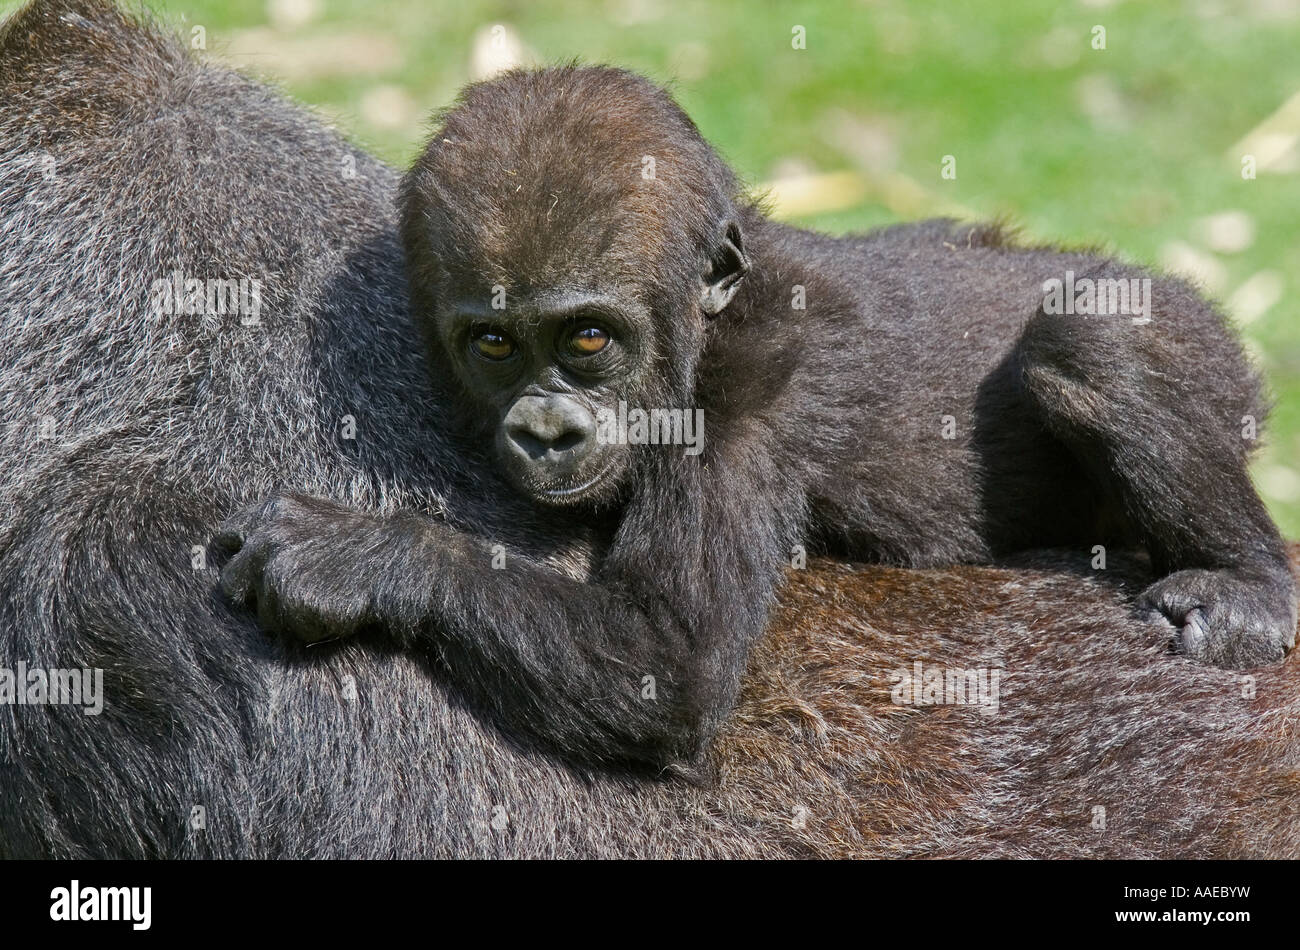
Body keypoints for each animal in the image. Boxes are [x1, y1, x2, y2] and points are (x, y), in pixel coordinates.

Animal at [214, 65, 1297, 776]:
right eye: (493, 345)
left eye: (588, 339)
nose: (545, 432)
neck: (708, 324)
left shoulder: (737, 421)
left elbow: (664, 668)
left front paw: (361, 554)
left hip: (1193, 339)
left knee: (1091, 347)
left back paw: (1252, 583)